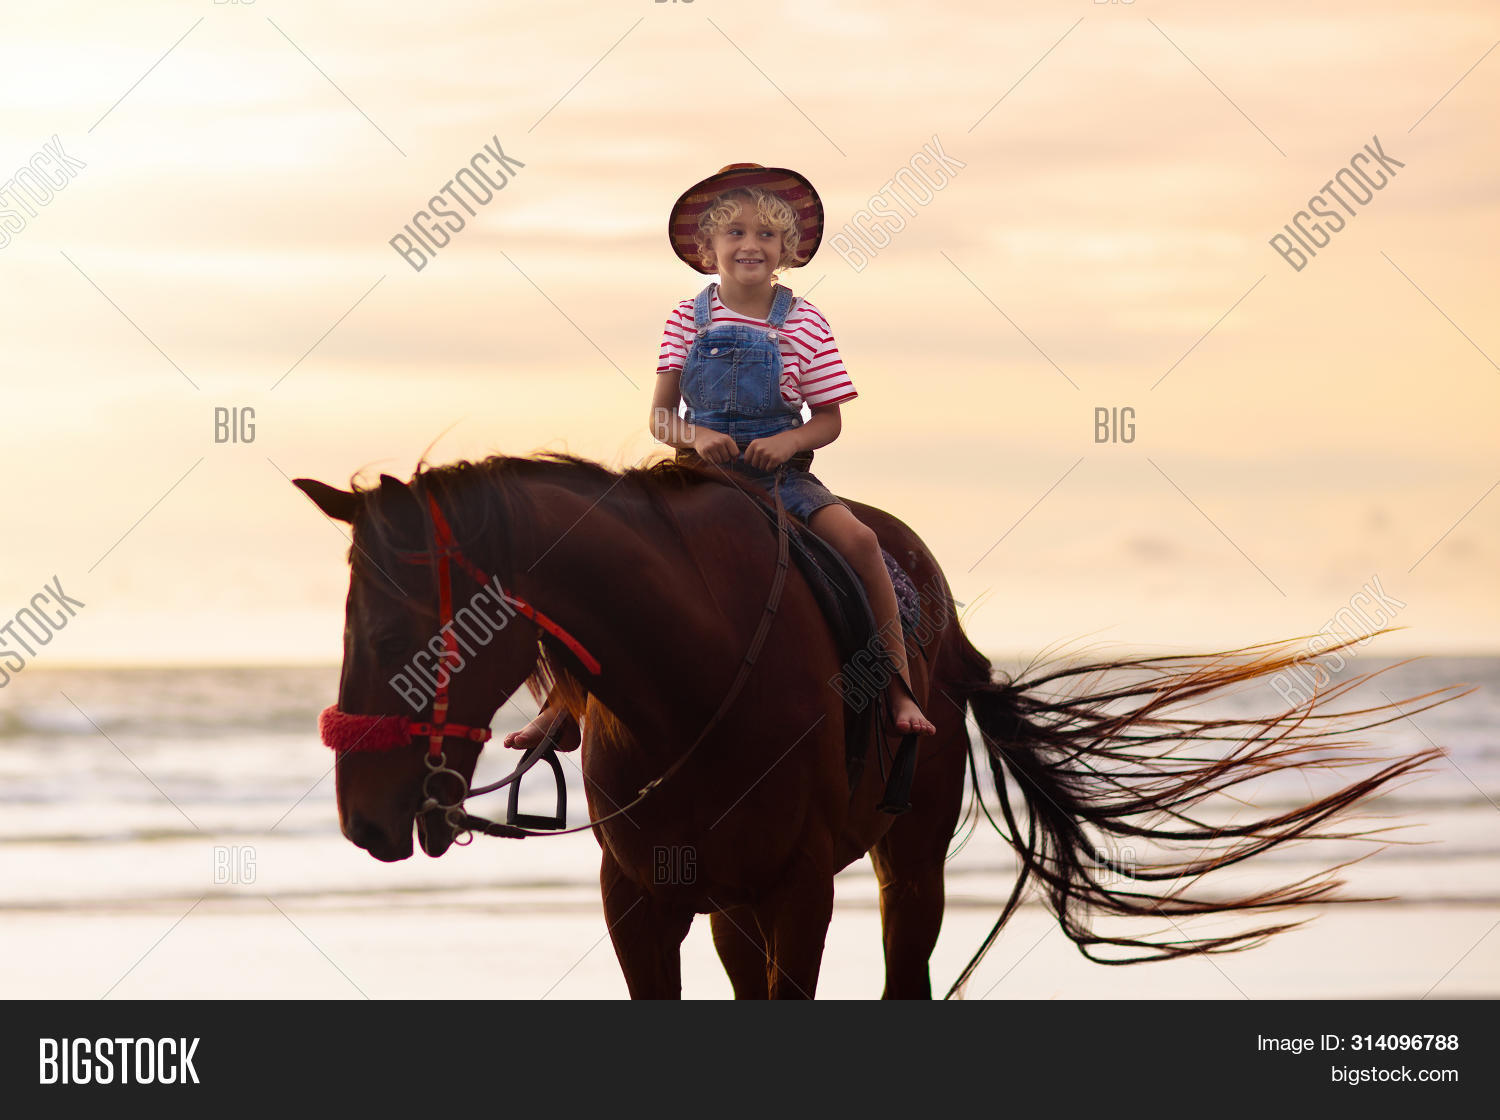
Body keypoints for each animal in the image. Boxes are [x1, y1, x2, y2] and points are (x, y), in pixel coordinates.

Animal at [294, 452, 1466, 999]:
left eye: (397, 623)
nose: (365, 817)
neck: (686, 680)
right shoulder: (641, 904)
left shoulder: (801, 894)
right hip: (732, 904)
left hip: (907, 868)